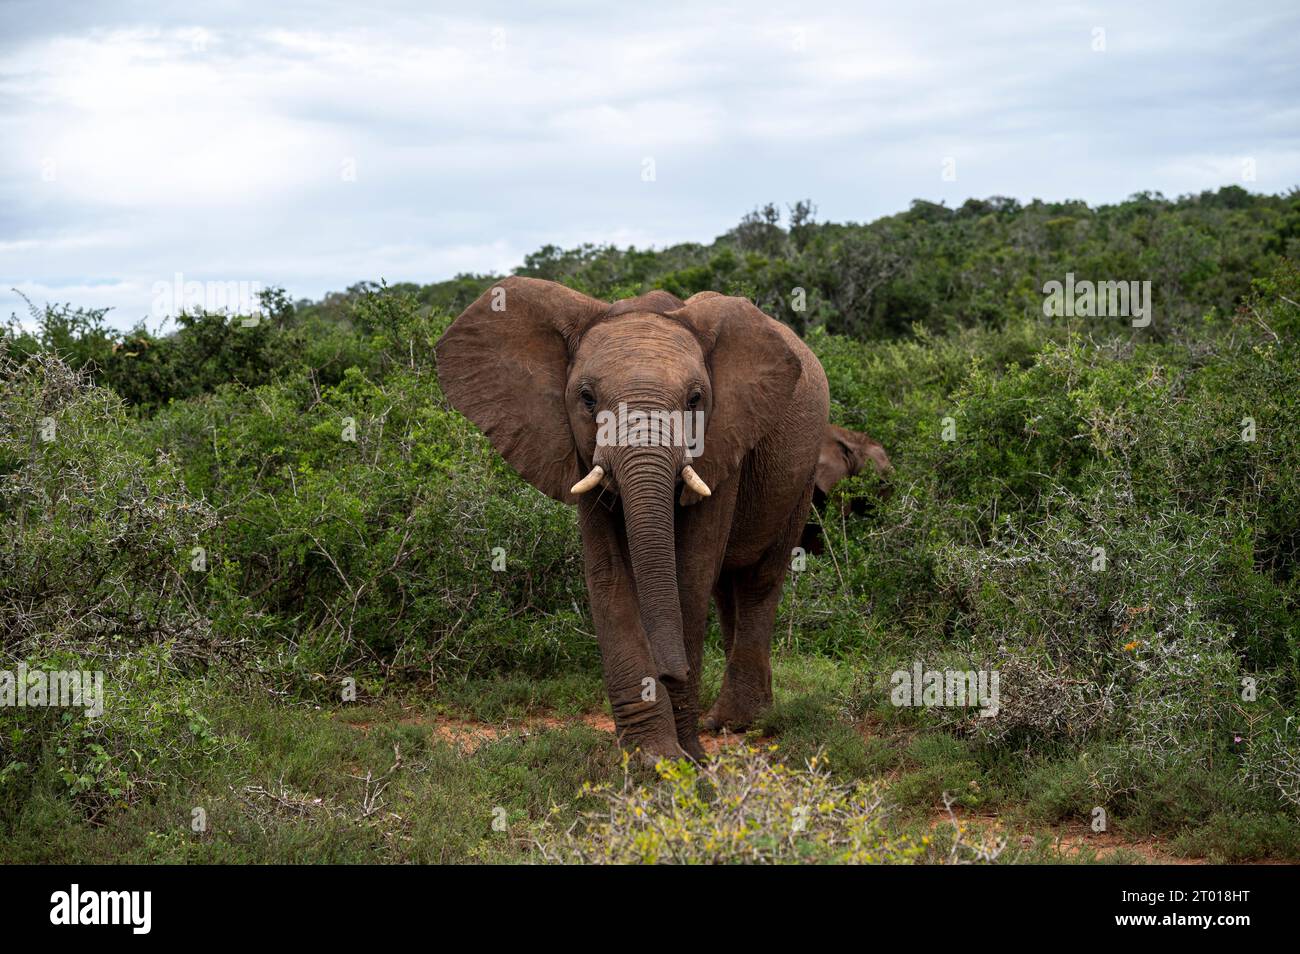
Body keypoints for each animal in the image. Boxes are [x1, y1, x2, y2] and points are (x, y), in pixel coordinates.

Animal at [435, 277, 829, 762]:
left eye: (695, 400)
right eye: (587, 399)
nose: (670, 671)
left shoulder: (724, 439)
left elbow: (690, 572)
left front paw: (685, 757)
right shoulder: (579, 451)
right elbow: (609, 573)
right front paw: (650, 758)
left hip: (802, 470)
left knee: (759, 579)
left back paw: (739, 722)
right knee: (727, 587)